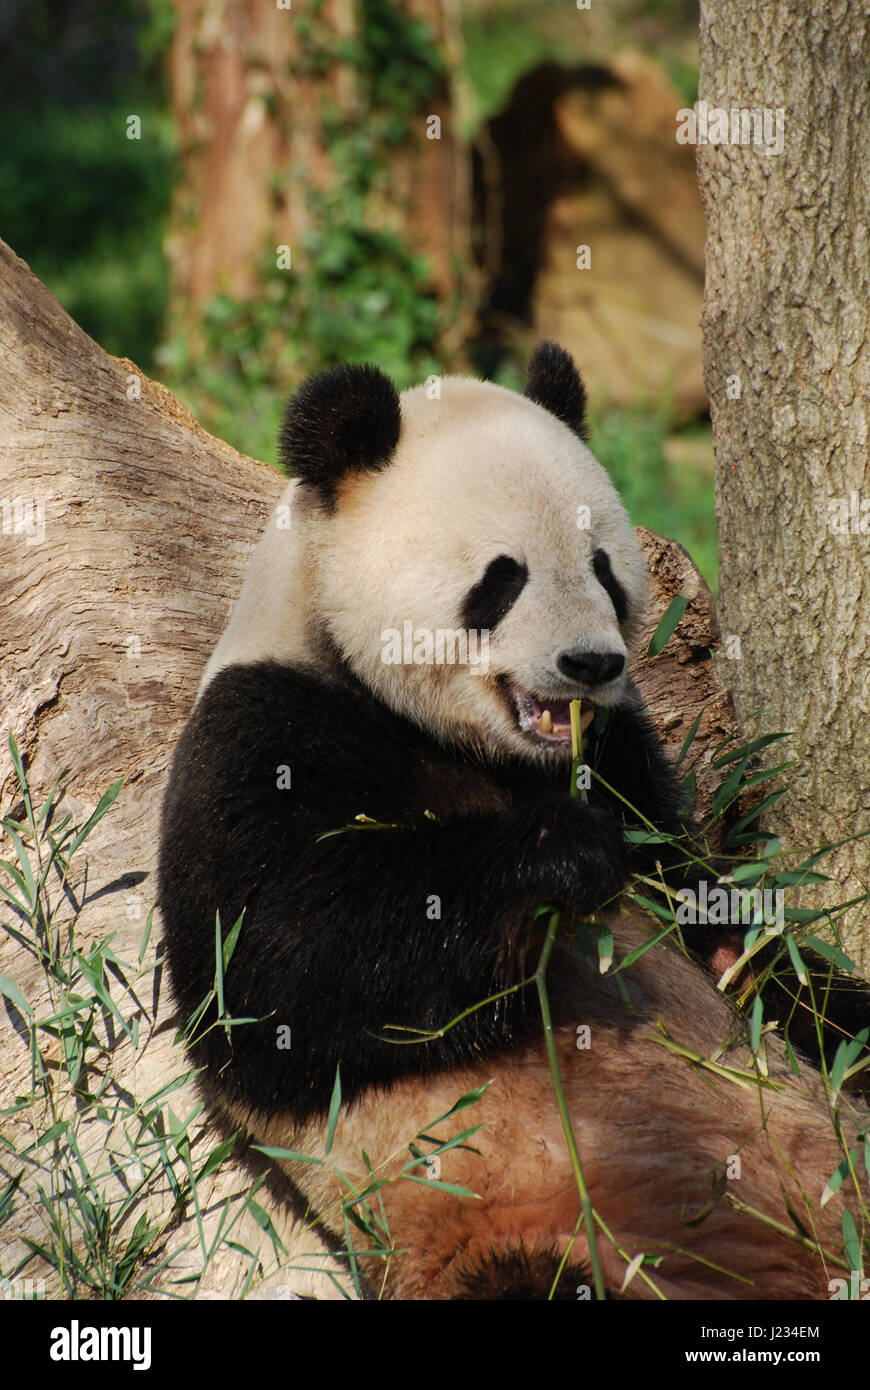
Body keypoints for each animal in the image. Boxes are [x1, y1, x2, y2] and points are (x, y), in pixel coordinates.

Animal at [159, 343, 868, 1301]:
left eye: (604, 566)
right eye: (503, 578)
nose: (592, 663)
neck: (477, 750)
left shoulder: (621, 755)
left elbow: (703, 892)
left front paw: (732, 942)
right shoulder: (261, 729)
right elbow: (272, 972)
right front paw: (565, 855)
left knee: (839, 1024)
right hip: (517, 1229)